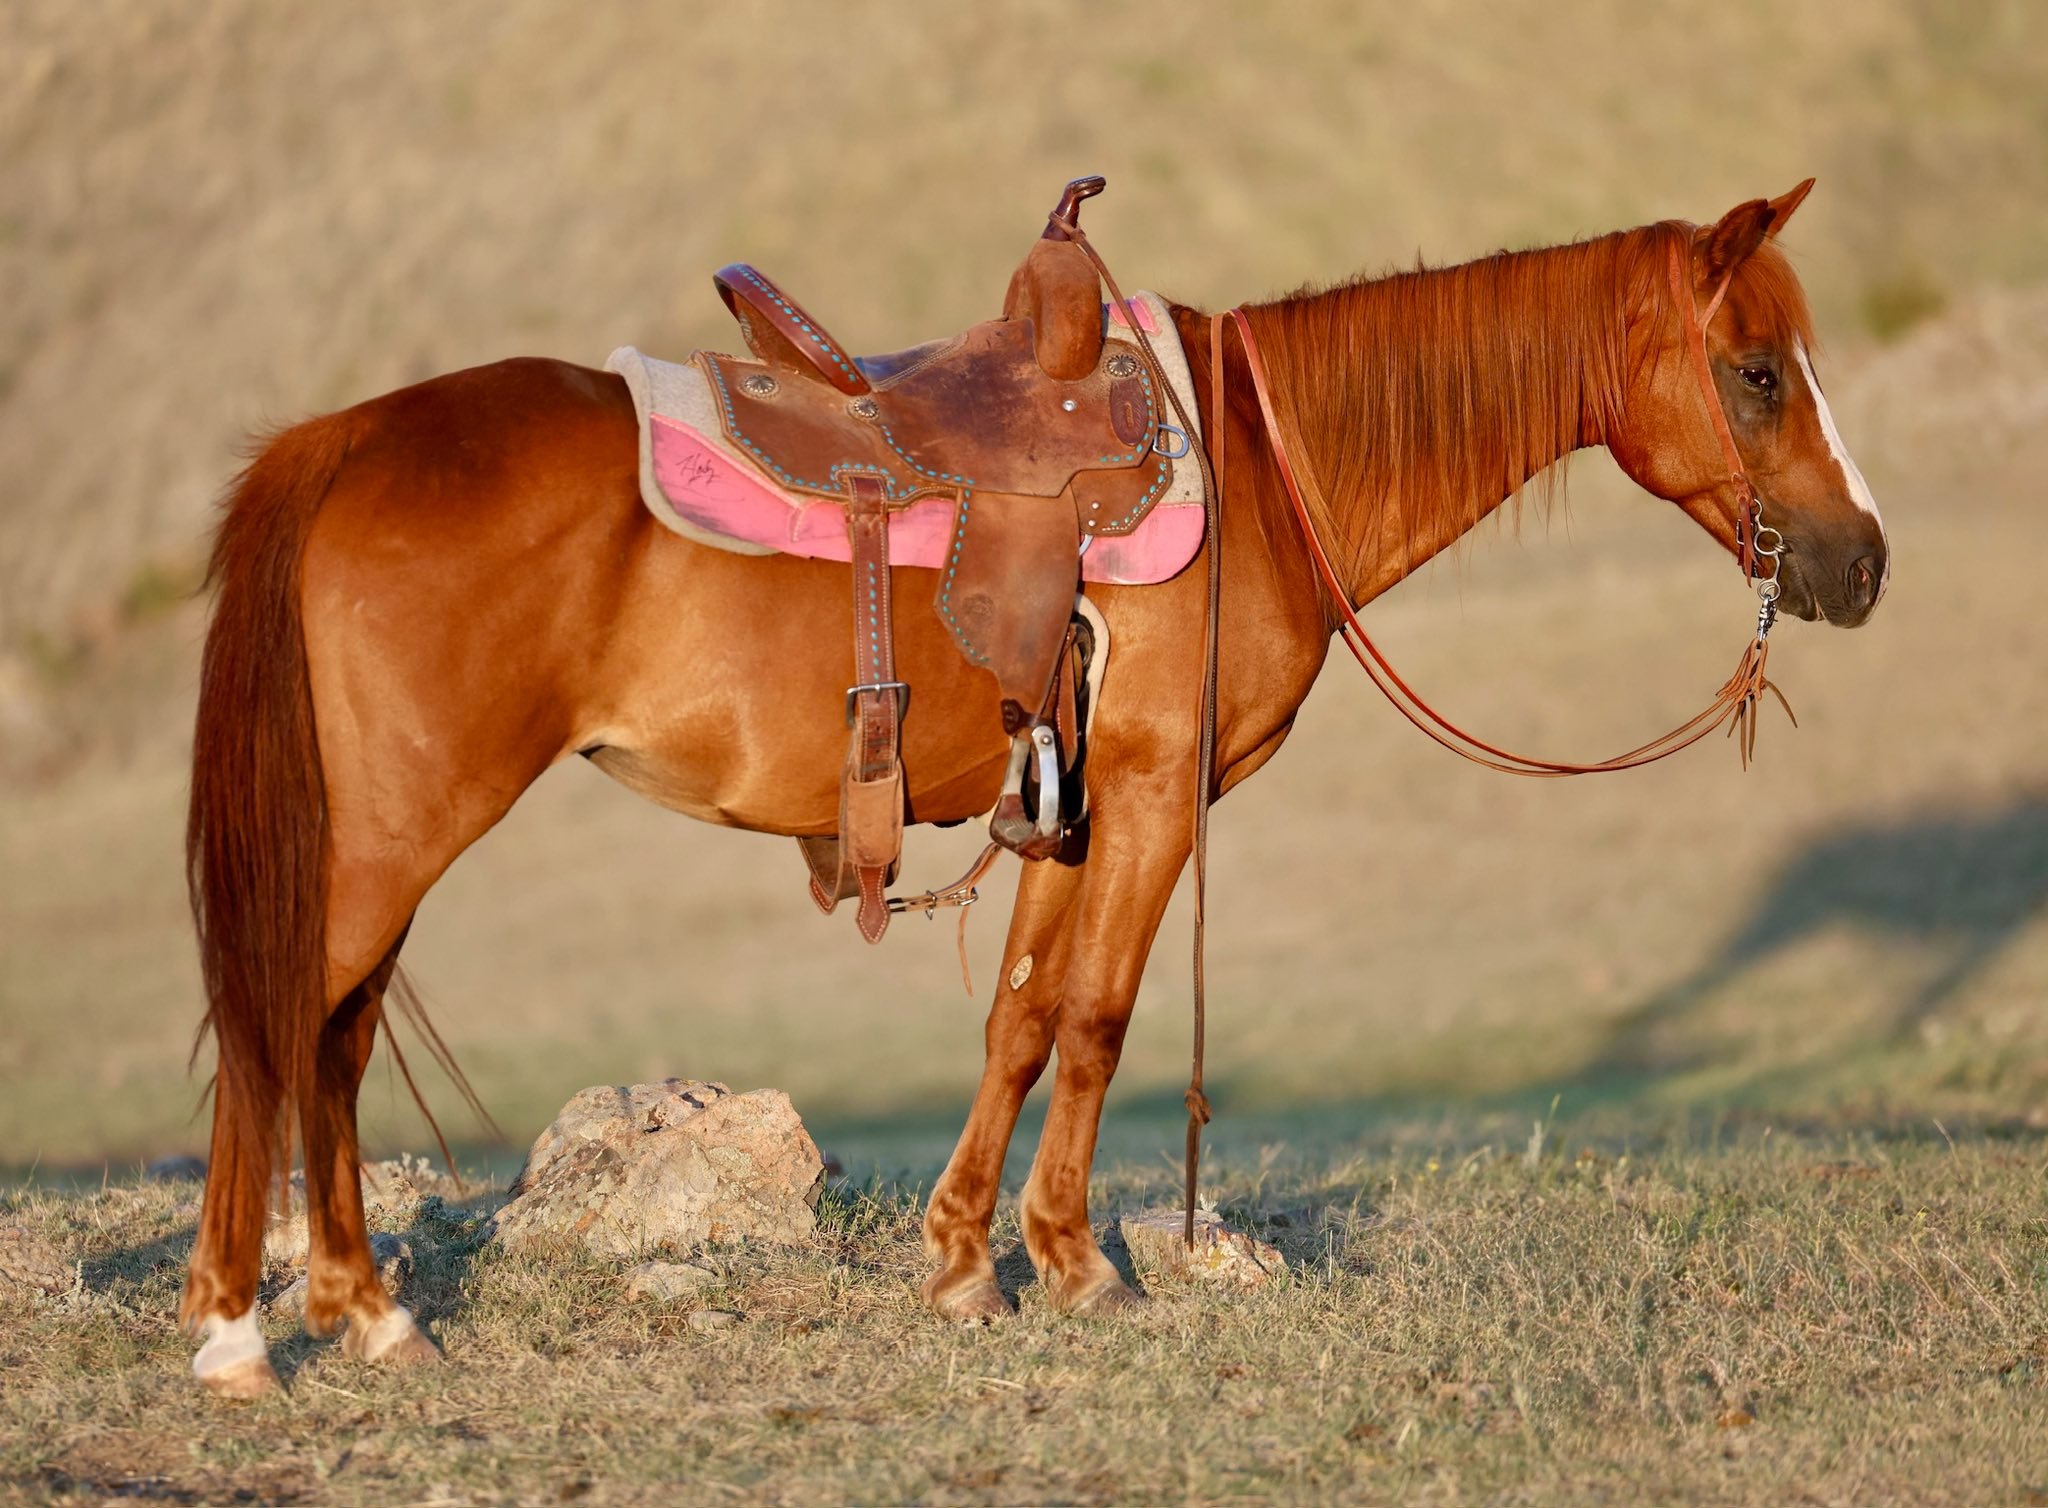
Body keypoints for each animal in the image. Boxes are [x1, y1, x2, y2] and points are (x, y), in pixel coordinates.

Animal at [178, 182, 1888, 1396]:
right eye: (1753, 371)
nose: (1862, 563)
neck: (1258, 469)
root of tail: (341, 441)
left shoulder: (1065, 801)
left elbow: (1017, 1016)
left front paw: (963, 1263)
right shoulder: (1152, 794)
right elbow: (1101, 1017)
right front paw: (1075, 1266)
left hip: (384, 847)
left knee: (330, 1044)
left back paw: (368, 1315)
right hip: (388, 841)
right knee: (280, 1035)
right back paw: (239, 1333)